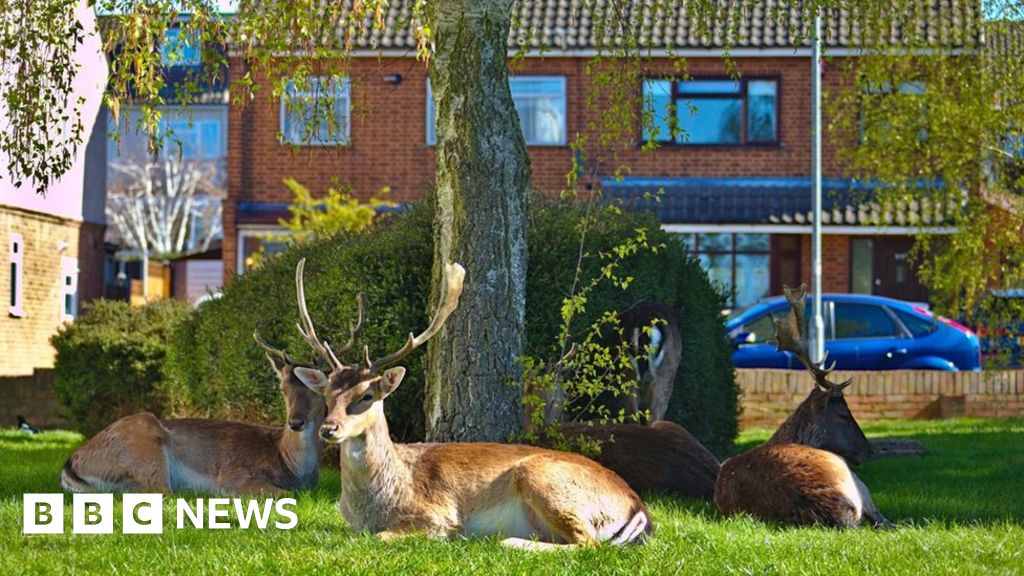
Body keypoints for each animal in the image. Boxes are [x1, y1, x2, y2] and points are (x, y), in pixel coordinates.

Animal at [59, 331, 332, 494]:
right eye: (282, 388)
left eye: (315, 389)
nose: (296, 422)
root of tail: (70, 465)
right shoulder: (233, 475)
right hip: (145, 450)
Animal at [289, 259, 652, 550]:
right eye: (327, 395)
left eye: (367, 395)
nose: (329, 428)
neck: (375, 505)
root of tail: (638, 506)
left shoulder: (437, 514)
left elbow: (382, 536)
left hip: (547, 480)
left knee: (589, 544)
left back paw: (506, 540)